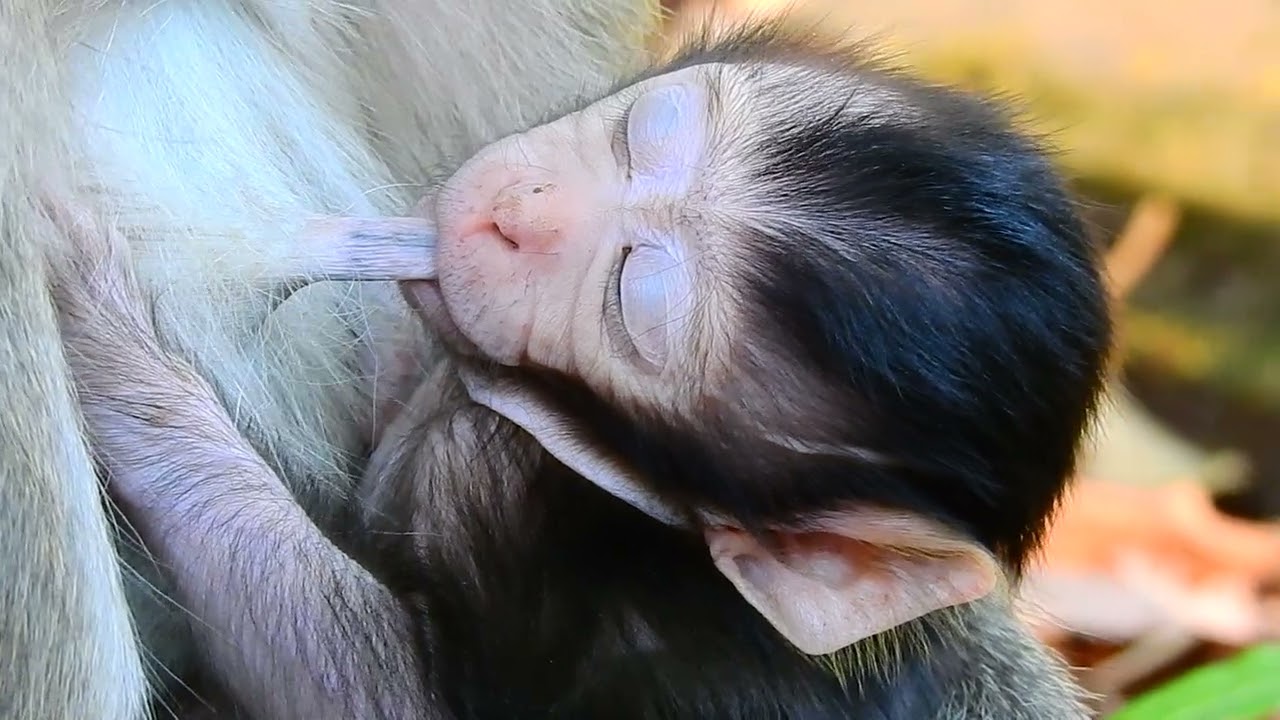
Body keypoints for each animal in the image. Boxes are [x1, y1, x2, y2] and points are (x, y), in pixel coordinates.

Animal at [47, 24, 1110, 719]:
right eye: (647, 130)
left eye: (632, 301)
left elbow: (376, 690)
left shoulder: (498, 486)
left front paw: (117, 353)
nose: (517, 210)